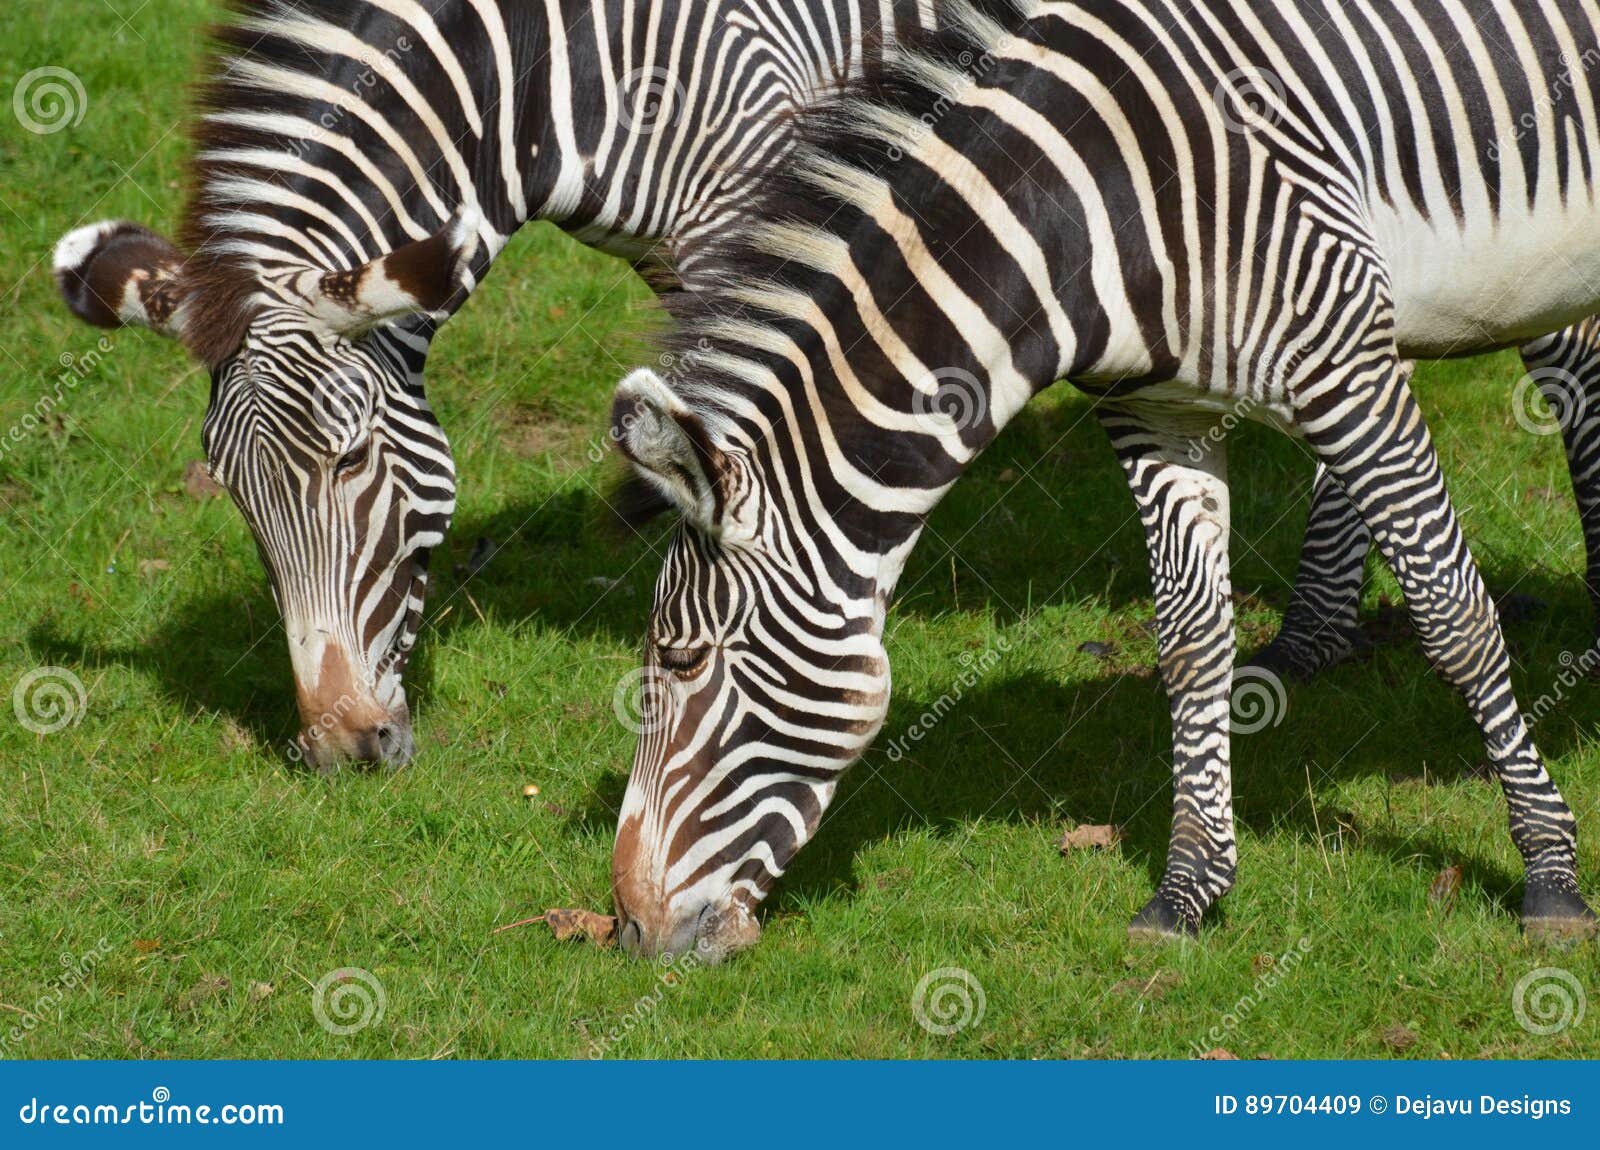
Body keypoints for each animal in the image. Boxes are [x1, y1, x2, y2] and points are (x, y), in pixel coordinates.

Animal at [605, 0, 1600, 960]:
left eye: (682, 659)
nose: (629, 929)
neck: (1082, 218)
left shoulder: (1347, 369)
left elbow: (1453, 613)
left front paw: (1550, 874)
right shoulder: (1158, 410)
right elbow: (1192, 642)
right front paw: (1188, 889)